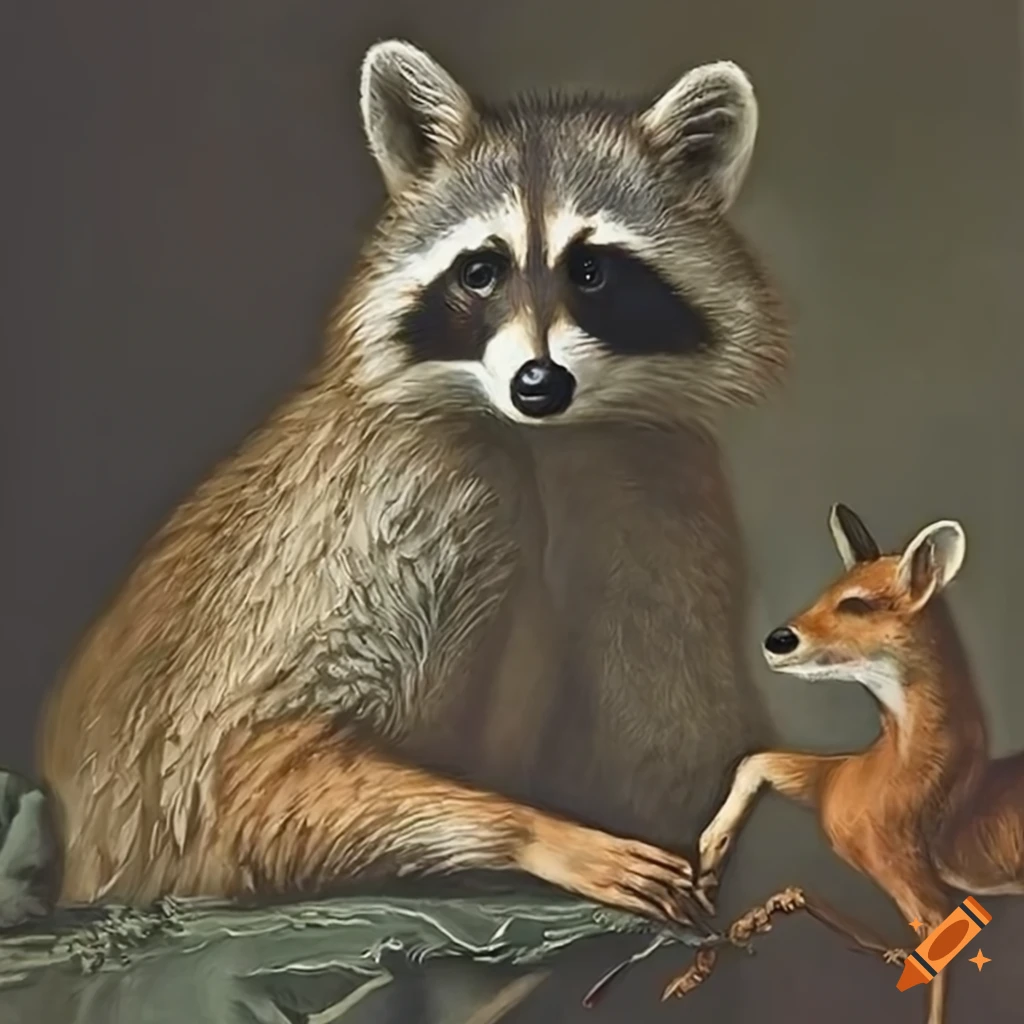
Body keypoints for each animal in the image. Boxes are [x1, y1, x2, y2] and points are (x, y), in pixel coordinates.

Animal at [38, 39, 788, 931]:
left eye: (593, 271)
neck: (543, 439)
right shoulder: (405, 493)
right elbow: (253, 767)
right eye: (481, 272)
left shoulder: (658, 488)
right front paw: (537, 832)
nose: (539, 383)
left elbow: (674, 758)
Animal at [693, 504, 1024, 1024]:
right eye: (829, 588)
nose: (778, 640)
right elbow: (757, 759)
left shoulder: (921, 891)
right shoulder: (839, 787)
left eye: (857, 604)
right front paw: (718, 877)